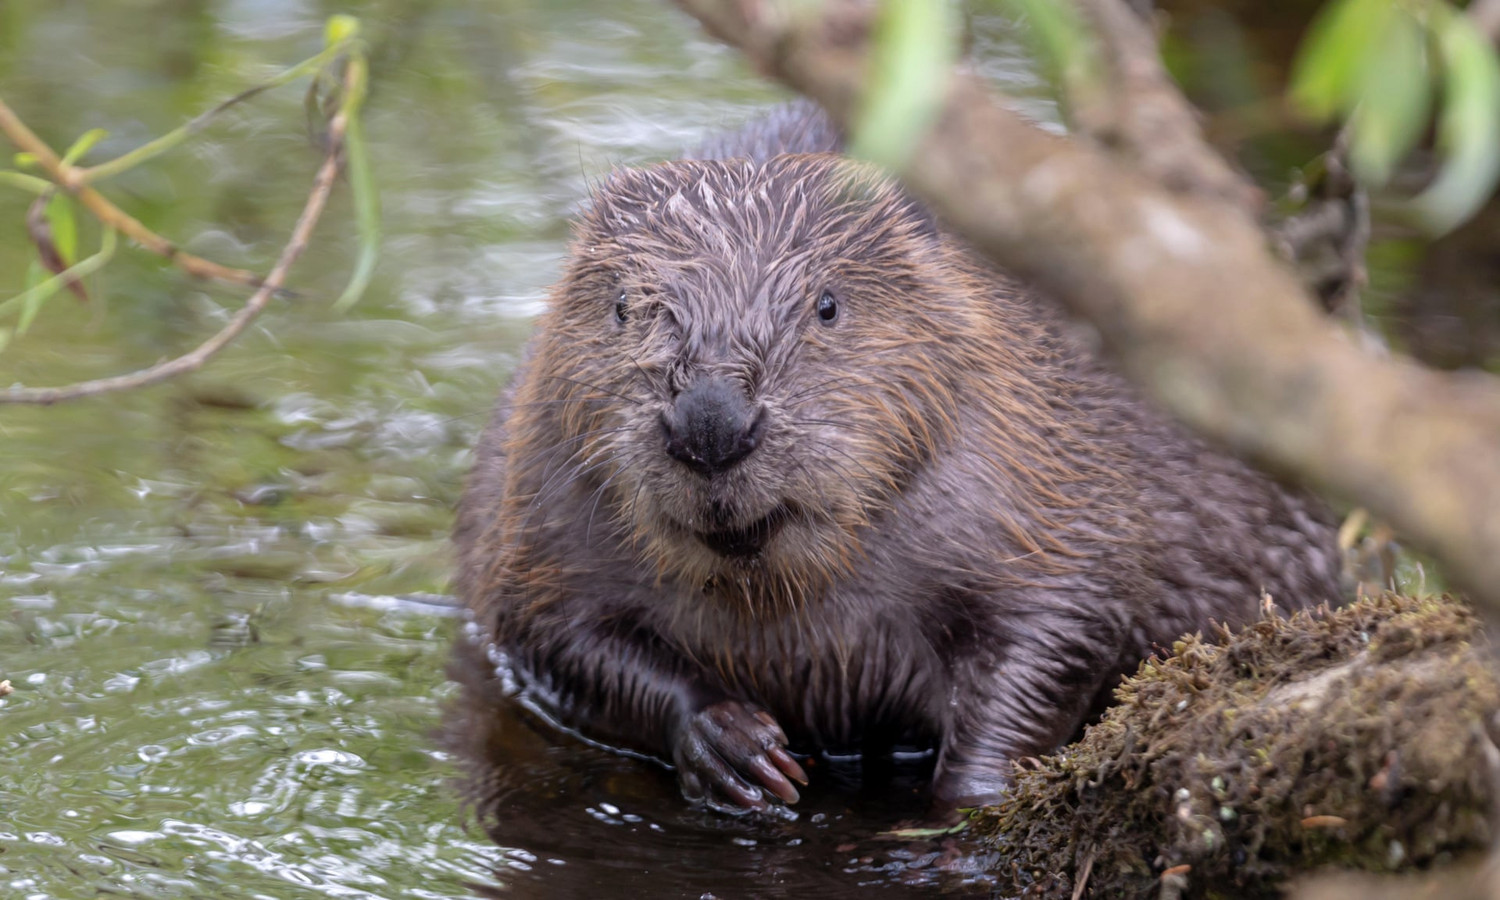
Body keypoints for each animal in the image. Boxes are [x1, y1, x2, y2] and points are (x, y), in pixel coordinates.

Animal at [454, 105, 1344, 813]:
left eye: (827, 305)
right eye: (622, 306)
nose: (711, 422)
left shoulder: (1038, 472)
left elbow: (1060, 629)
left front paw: (969, 799)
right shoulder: (539, 501)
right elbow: (549, 636)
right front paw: (738, 746)